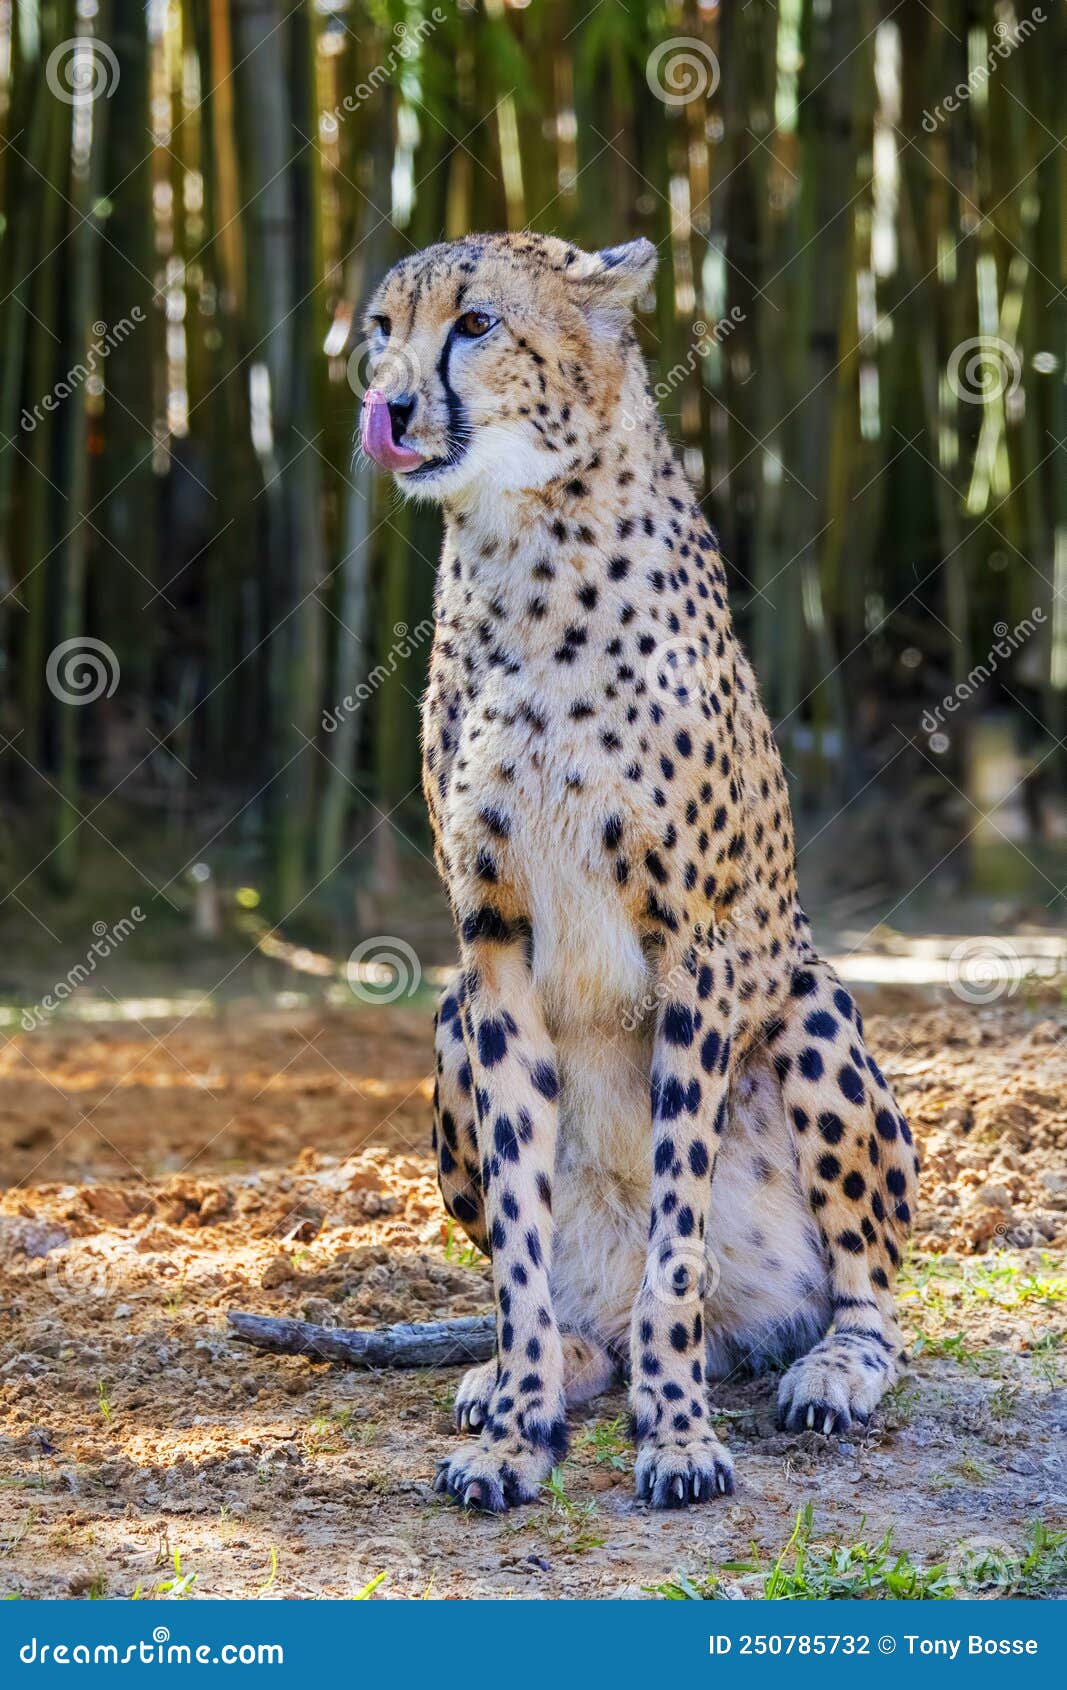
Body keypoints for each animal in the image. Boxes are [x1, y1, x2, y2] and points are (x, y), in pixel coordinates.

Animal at [358, 231, 919, 1513]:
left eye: (473, 323)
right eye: (380, 328)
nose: (389, 407)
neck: (520, 543)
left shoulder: (693, 946)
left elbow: (676, 1229)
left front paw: (675, 1435)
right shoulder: (491, 948)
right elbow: (519, 1239)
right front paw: (519, 1427)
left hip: (809, 1007)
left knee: (864, 1288)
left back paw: (828, 1368)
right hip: (446, 1022)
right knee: (575, 1300)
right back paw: (547, 1363)